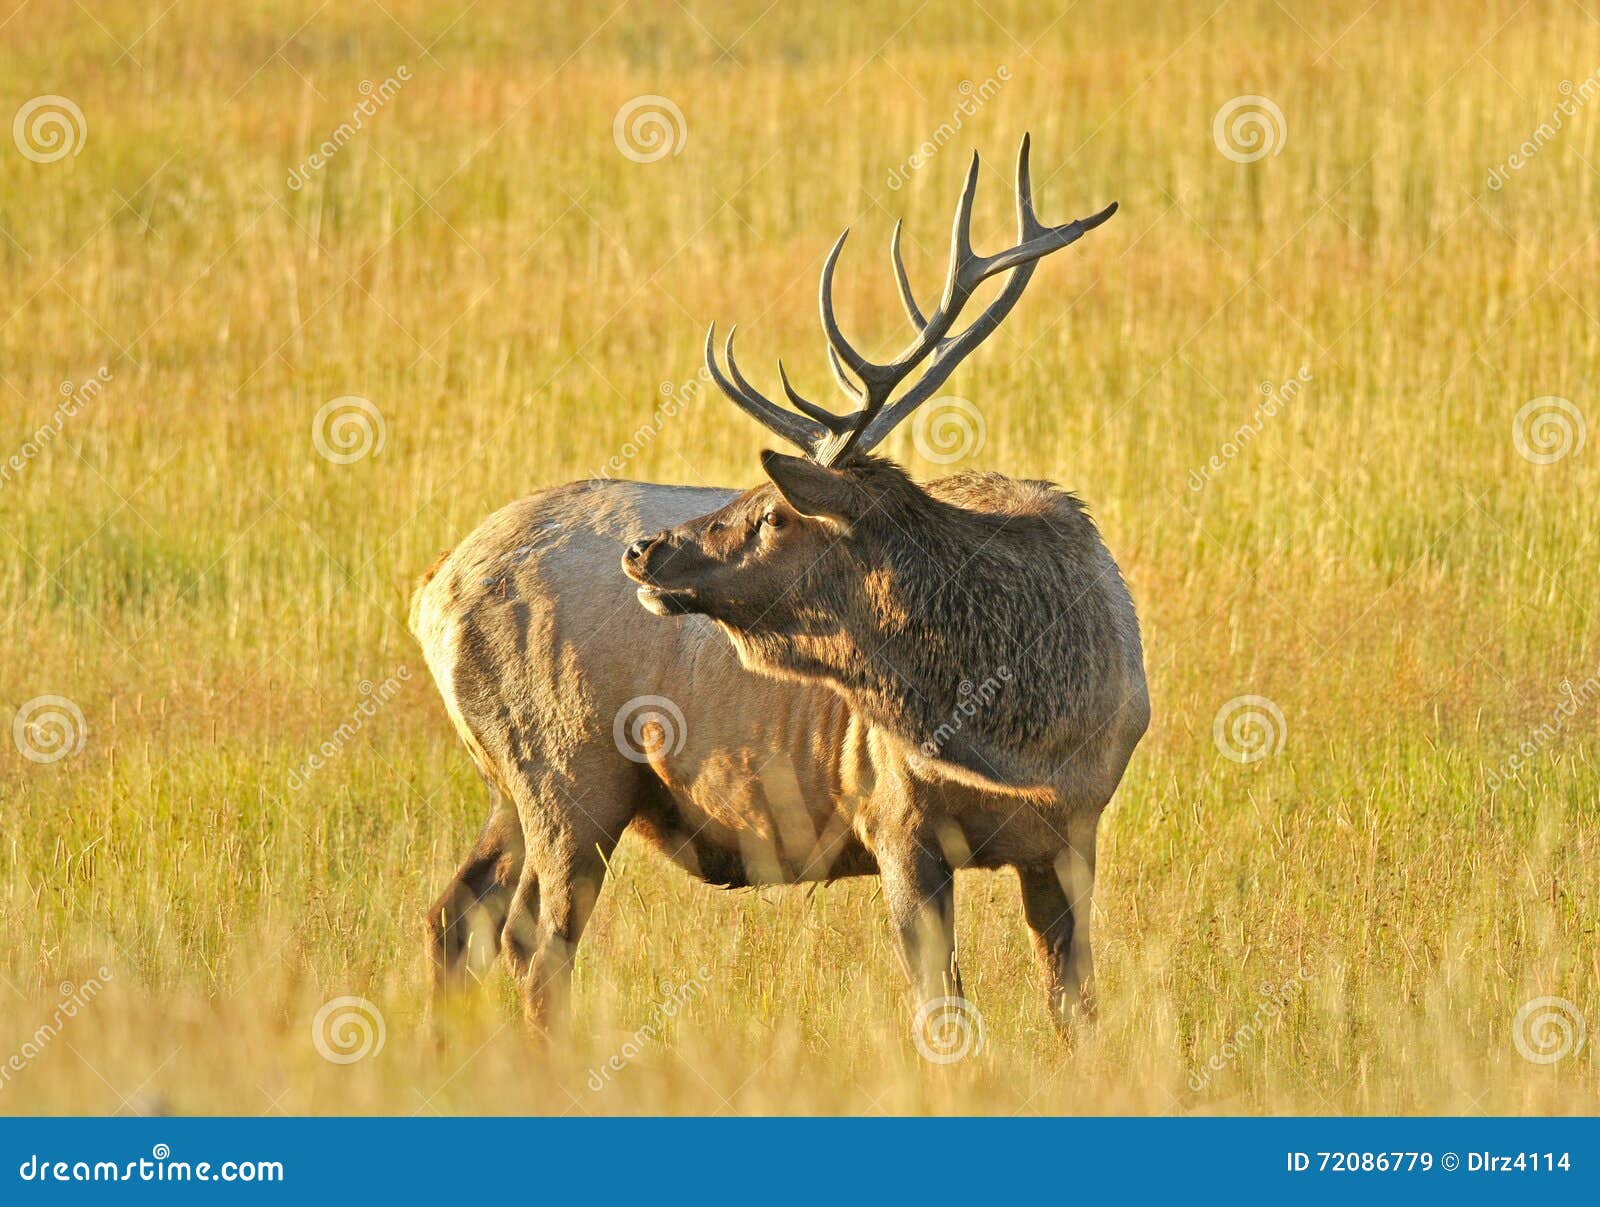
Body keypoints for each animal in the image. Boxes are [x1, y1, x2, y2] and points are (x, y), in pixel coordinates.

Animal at [411, 135, 1148, 1038]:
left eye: (772, 513)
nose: (642, 552)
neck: (1031, 739)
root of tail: (434, 593)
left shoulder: (1075, 831)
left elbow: (1074, 1007)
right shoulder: (893, 812)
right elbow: (941, 1005)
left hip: (508, 779)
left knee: (456, 914)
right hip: (567, 766)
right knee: (533, 939)